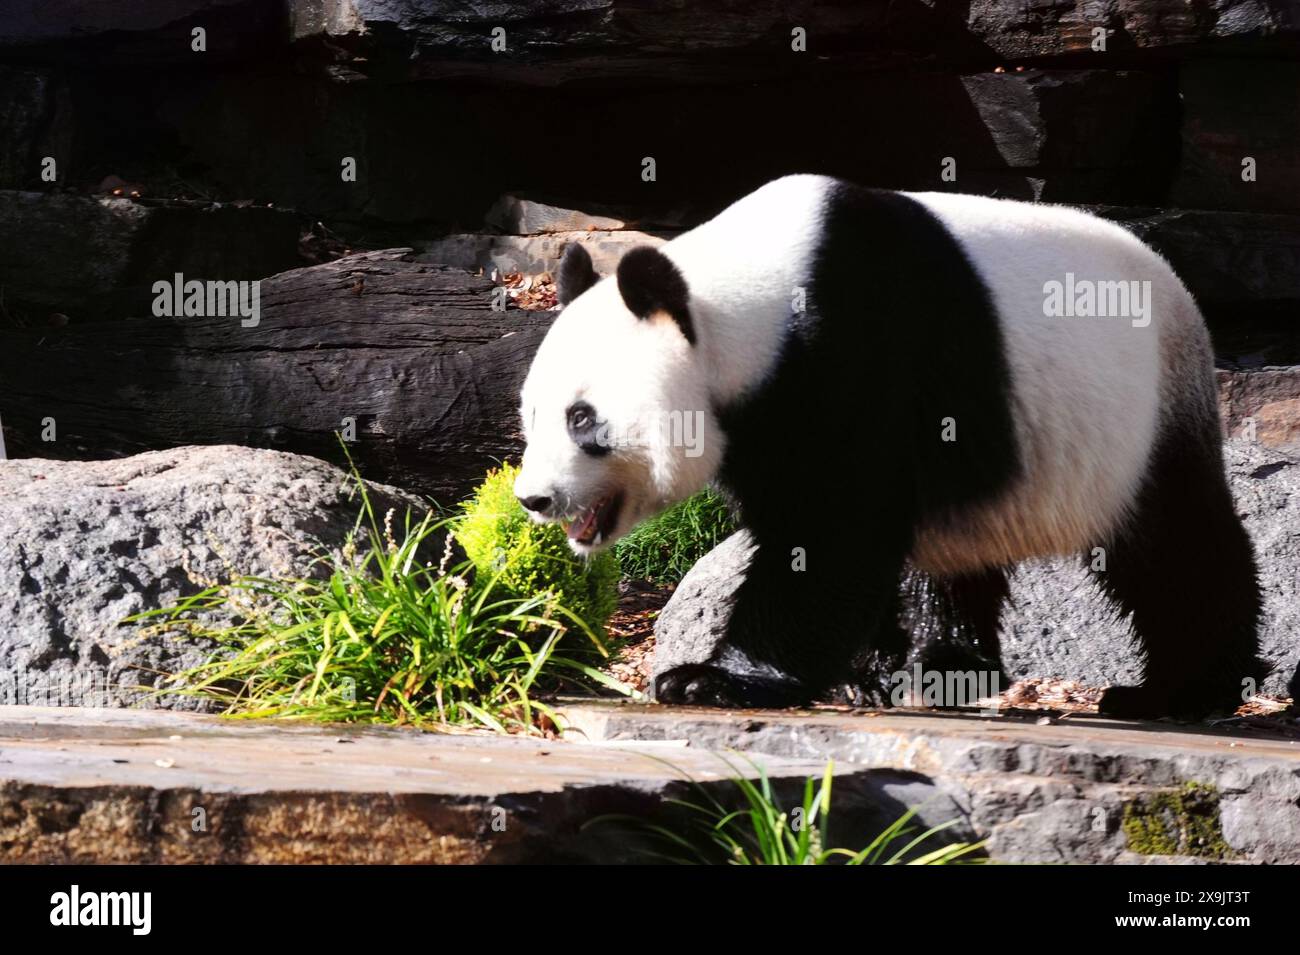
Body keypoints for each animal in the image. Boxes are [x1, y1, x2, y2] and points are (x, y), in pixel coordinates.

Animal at [513, 174, 1264, 720]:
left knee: (1171, 543)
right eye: (532, 415)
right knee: (954, 553)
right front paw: (853, 677)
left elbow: (832, 529)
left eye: (582, 418)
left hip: (1141, 414)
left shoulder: (857, 348)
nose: (534, 499)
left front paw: (709, 679)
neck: (739, 303)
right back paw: (939, 669)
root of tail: (1178, 286)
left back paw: (1181, 690)